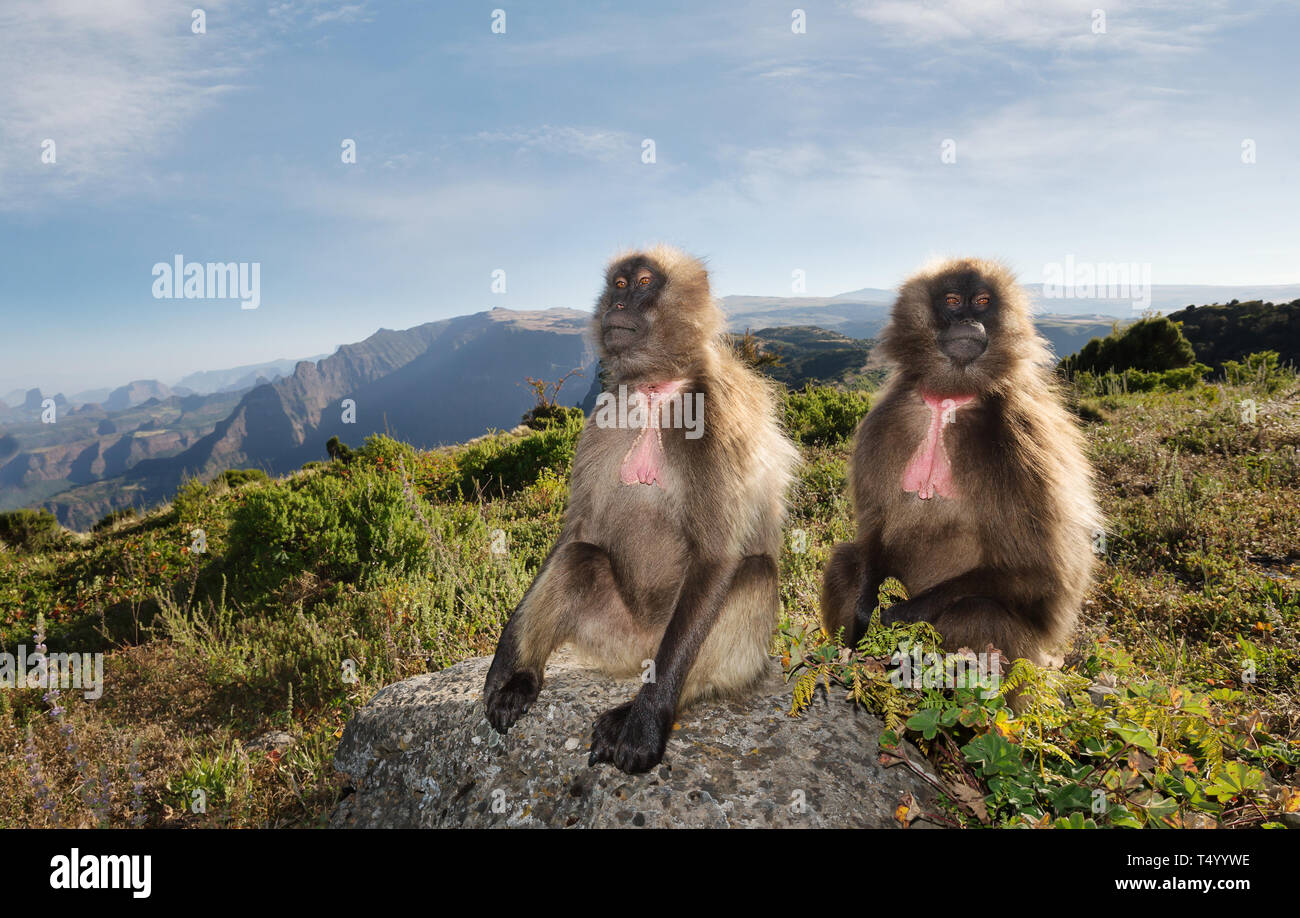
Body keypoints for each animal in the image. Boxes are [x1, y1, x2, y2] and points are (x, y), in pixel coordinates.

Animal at [484, 245, 799, 774]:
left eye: (644, 282)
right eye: (618, 284)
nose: (616, 305)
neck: (657, 388)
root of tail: (644, 648)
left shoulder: (715, 415)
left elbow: (717, 556)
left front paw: (647, 723)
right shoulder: (604, 413)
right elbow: (576, 532)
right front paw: (503, 665)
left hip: (688, 647)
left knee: (751, 574)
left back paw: (646, 706)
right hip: (616, 638)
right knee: (578, 558)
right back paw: (524, 679)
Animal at [820, 257, 1101, 664]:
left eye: (983, 301)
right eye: (952, 300)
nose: (968, 320)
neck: (949, 398)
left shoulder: (1027, 437)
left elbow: (1045, 577)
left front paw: (905, 612)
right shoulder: (885, 420)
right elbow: (873, 530)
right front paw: (864, 603)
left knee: (978, 611)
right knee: (848, 562)